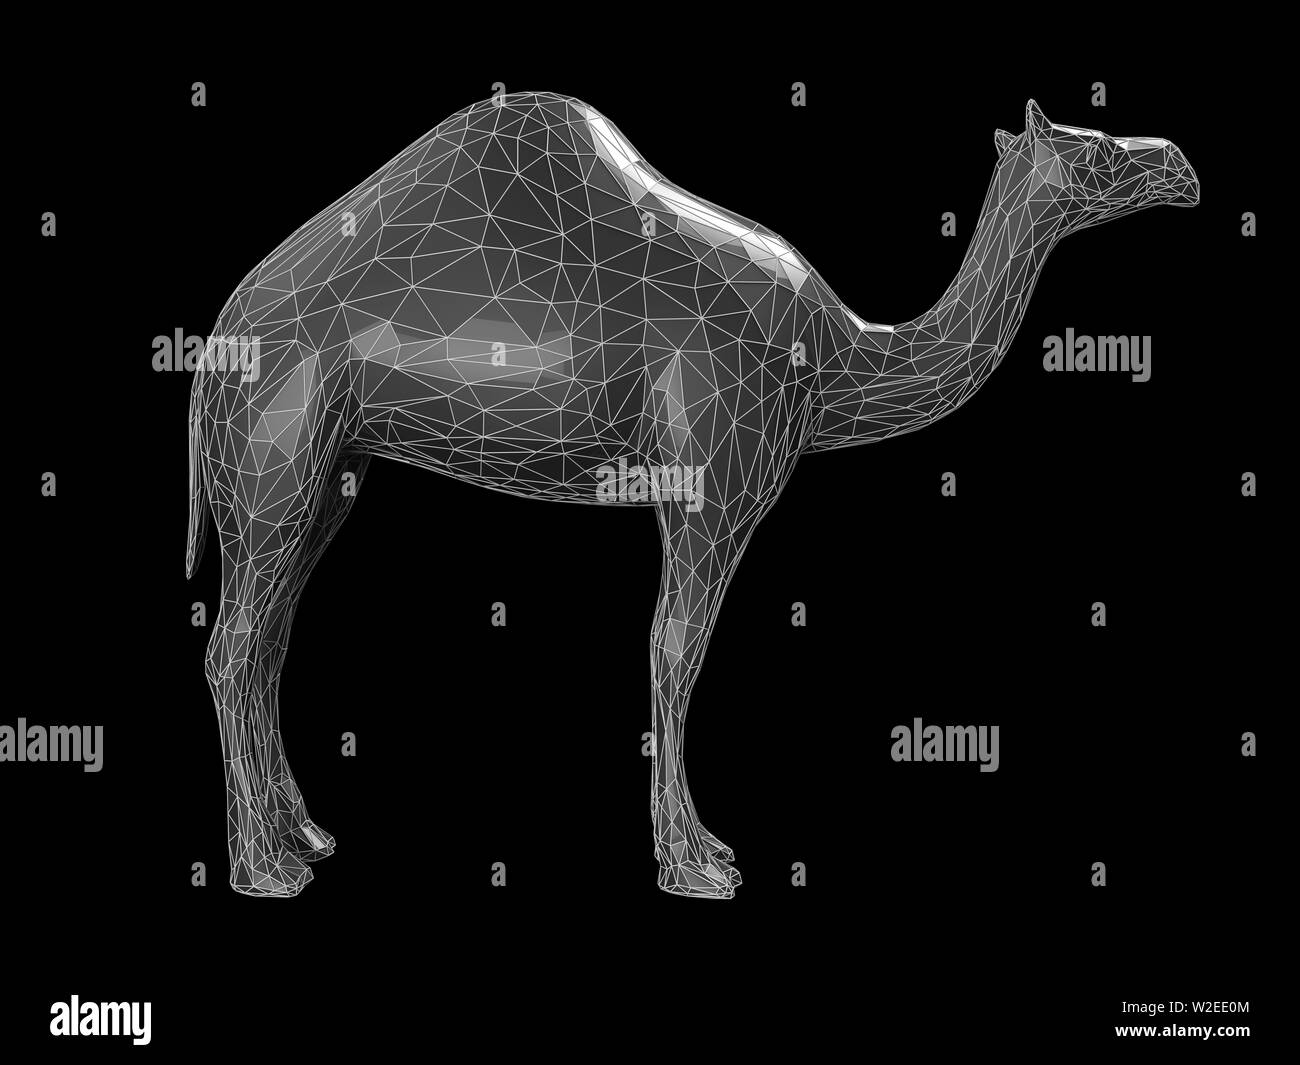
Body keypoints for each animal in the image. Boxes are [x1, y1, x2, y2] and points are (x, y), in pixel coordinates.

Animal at [186, 94, 1197, 898]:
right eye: (1098, 150)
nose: (1180, 167)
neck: (834, 359)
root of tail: (216, 343)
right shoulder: (714, 481)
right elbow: (674, 651)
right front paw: (696, 861)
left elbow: (670, 651)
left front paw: (693, 848)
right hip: (276, 449)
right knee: (234, 645)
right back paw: (262, 868)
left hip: (334, 470)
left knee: (268, 638)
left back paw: (303, 833)